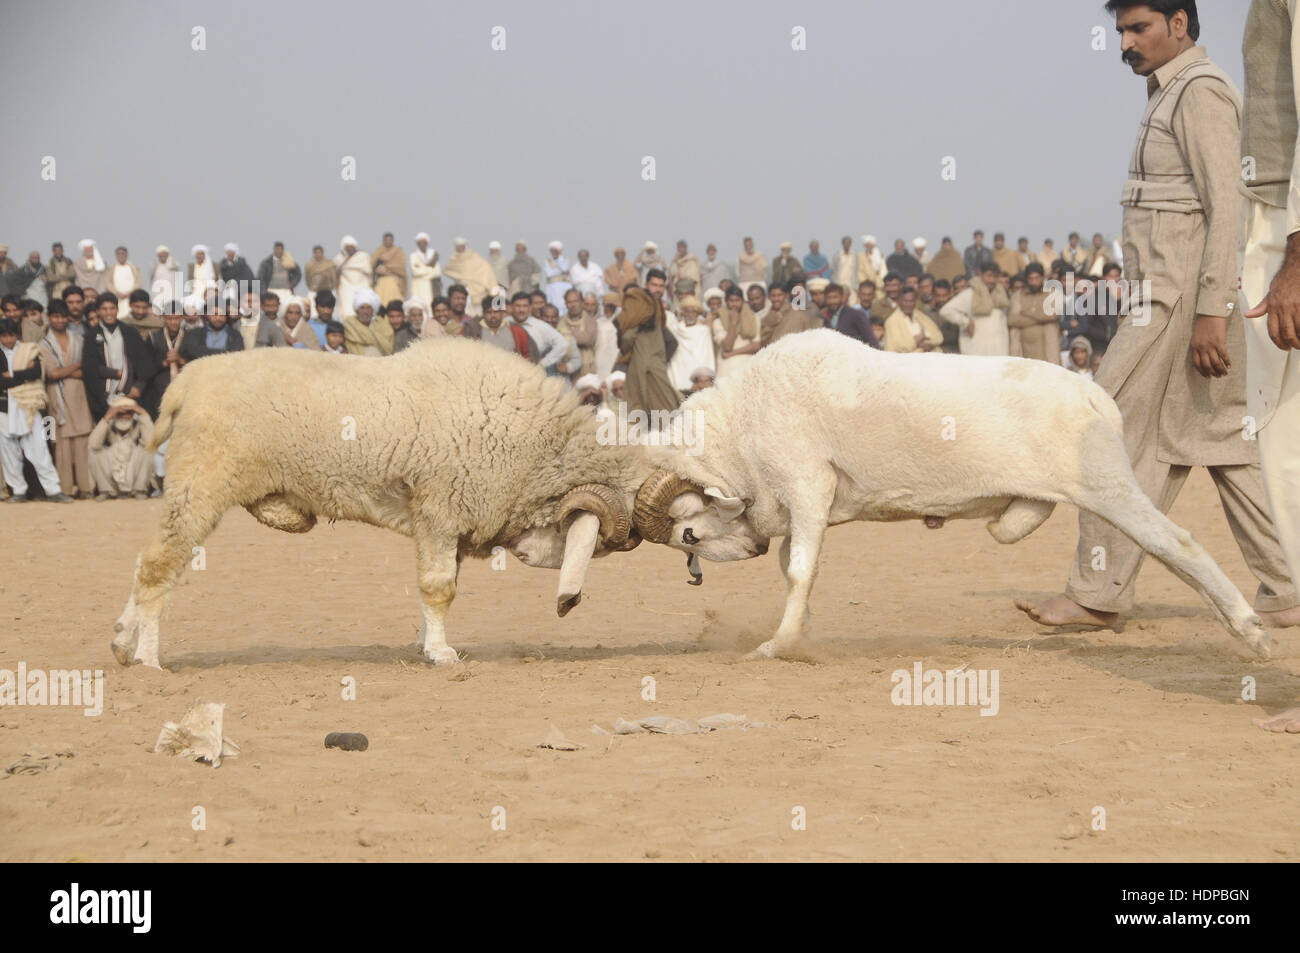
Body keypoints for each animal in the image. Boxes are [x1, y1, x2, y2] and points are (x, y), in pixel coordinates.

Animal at [110, 338, 649, 669]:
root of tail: (186, 381)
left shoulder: (448, 521)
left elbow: (441, 583)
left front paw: (427, 642)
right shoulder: (439, 506)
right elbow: (439, 588)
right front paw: (441, 654)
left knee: (143, 565)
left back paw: (121, 640)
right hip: (199, 485)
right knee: (158, 565)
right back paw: (149, 657)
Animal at [629, 329, 1272, 661]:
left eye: (688, 533)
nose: (695, 574)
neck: (742, 424)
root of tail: (1095, 396)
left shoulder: (807, 486)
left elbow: (800, 570)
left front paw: (779, 645)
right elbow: (795, 567)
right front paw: (799, 631)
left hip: (1106, 485)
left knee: (1179, 546)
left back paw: (1252, 633)